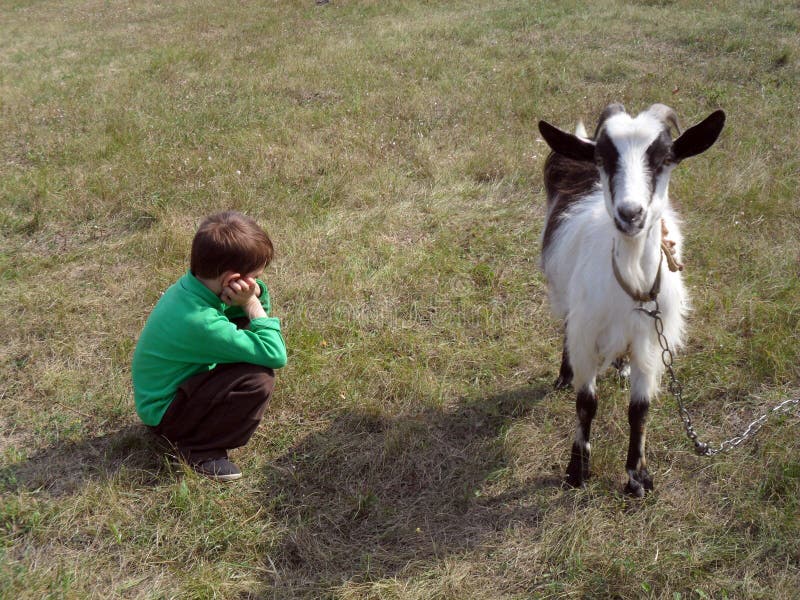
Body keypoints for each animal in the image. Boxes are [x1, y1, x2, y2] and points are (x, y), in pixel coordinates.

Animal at [537, 103, 725, 496]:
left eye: (666, 158)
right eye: (602, 157)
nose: (630, 213)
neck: (632, 279)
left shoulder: (650, 340)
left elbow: (639, 409)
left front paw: (637, 477)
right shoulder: (586, 333)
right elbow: (586, 403)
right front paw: (577, 471)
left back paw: (621, 367)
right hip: (565, 296)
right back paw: (563, 374)